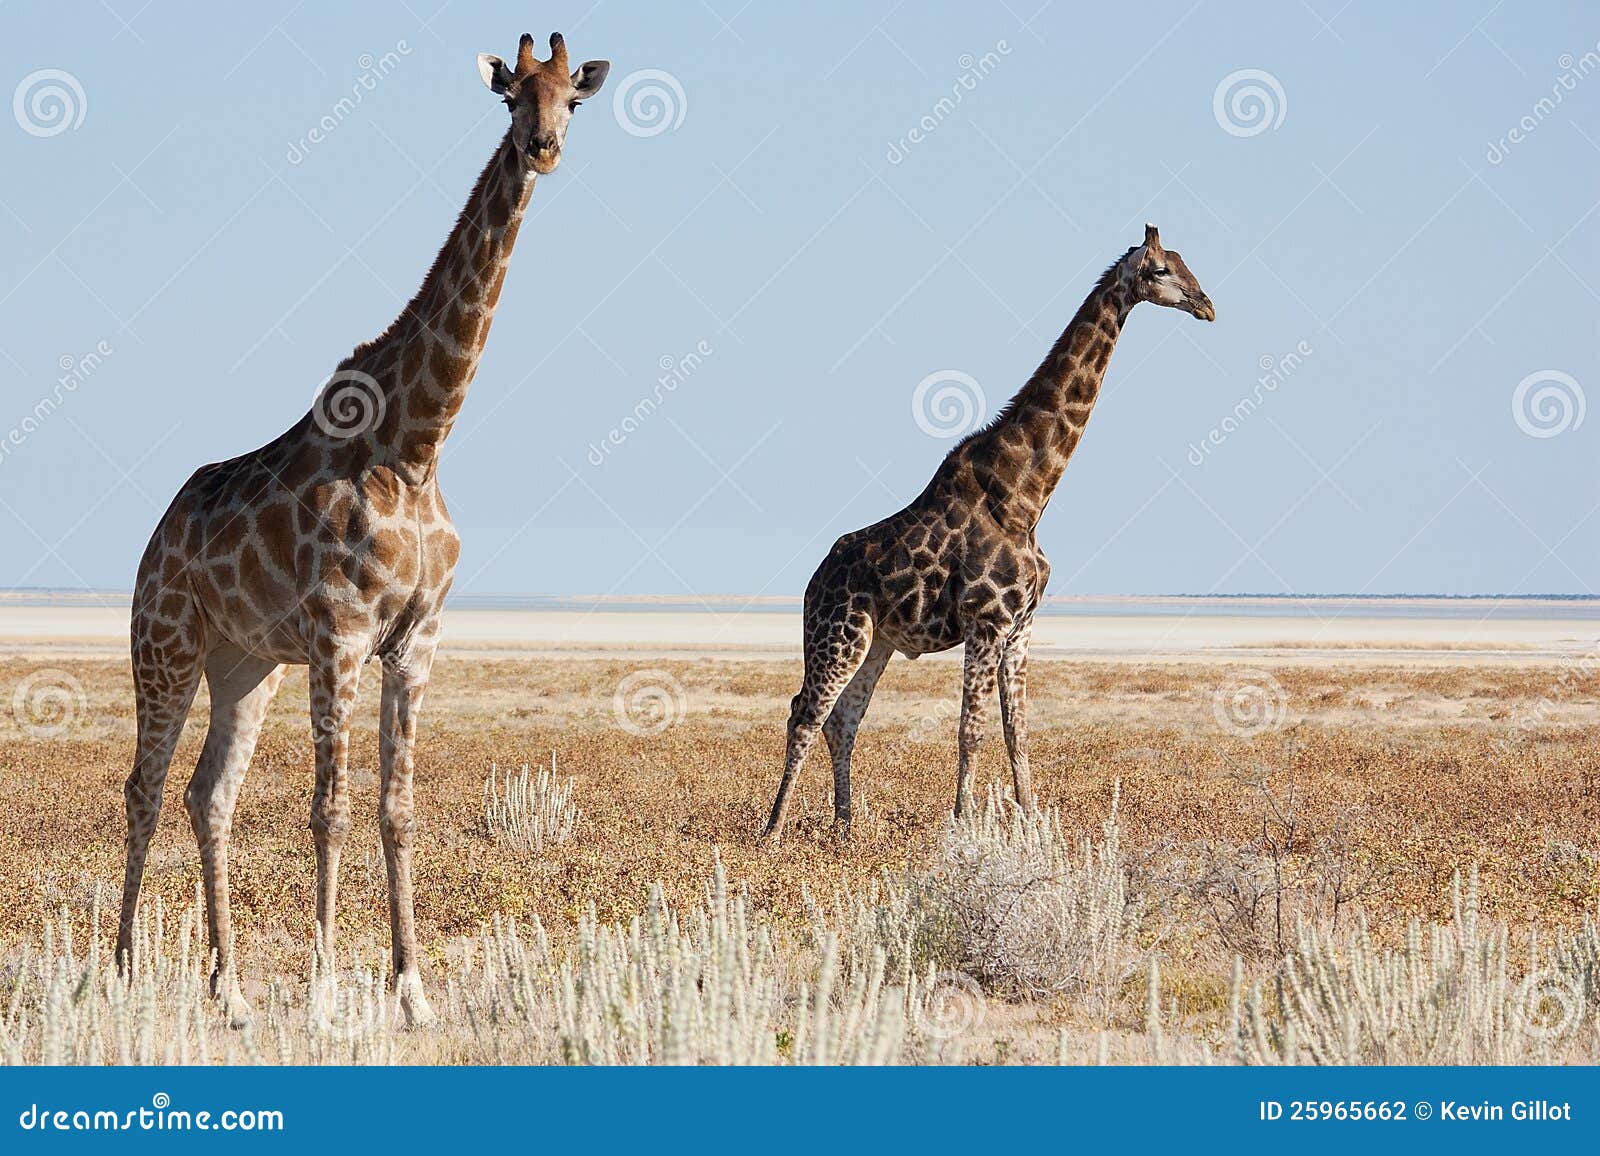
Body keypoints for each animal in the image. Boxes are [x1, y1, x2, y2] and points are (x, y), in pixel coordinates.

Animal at [116, 33, 609, 1026]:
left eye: (572, 98)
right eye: (513, 97)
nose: (542, 148)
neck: (418, 444)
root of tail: (156, 533)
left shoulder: (416, 640)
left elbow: (397, 809)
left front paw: (411, 990)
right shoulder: (340, 634)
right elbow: (331, 809)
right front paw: (322, 991)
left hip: (245, 664)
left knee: (207, 795)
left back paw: (230, 993)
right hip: (167, 641)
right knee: (143, 788)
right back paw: (114, 974)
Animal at [760, 226, 1215, 845]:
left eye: (1186, 263)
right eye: (1163, 269)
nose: (1207, 305)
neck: (1027, 497)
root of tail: (813, 578)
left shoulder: (1021, 627)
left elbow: (1016, 730)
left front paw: (1031, 824)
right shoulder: (986, 622)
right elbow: (970, 730)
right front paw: (963, 826)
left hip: (877, 640)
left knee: (844, 719)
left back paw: (845, 826)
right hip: (838, 629)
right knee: (805, 711)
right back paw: (774, 829)